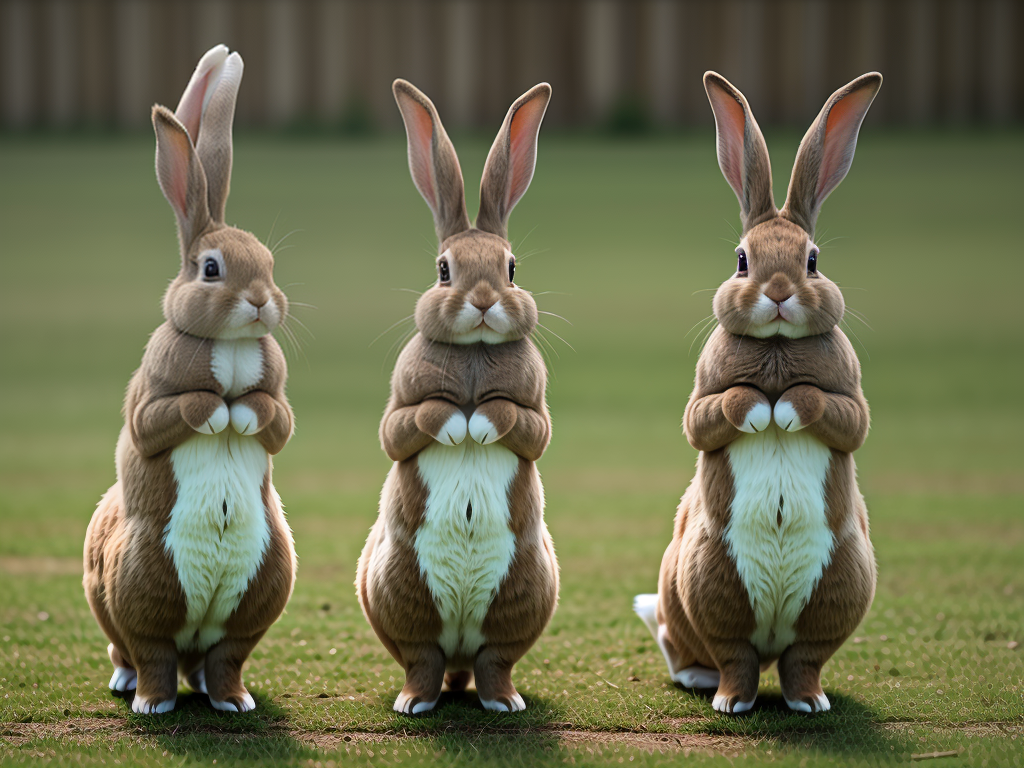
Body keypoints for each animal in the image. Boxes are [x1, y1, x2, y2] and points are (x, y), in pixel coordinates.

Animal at [83, 45, 296, 715]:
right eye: (211, 269)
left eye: (269, 264)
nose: (260, 302)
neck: (229, 345)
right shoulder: (152, 399)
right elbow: (168, 414)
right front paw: (218, 410)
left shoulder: (278, 396)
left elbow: (272, 418)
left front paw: (240, 413)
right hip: (137, 583)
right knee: (146, 652)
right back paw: (147, 698)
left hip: (263, 585)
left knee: (224, 656)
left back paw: (230, 700)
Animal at [356, 79, 558, 715]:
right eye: (444, 270)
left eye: (511, 268)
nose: (485, 300)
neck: (473, 354)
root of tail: (461, 657)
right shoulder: (400, 410)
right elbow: (410, 422)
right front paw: (457, 426)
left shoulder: (535, 414)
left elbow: (520, 422)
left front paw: (479, 425)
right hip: (401, 597)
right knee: (423, 660)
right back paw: (415, 703)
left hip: (523, 599)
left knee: (496, 662)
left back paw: (504, 702)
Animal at [634, 70, 882, 715]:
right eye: (741, 259)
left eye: (812, 260)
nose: (777, 291)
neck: (775, 347)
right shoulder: (705, 396)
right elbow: (715, 410)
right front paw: (762, 412)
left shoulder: (850, 399)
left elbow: (838, 413)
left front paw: (786, 410)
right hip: (706, 580)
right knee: (725, 654)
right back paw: (721, 696)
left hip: (840, 584)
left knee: (802, 660)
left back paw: (808, 703)